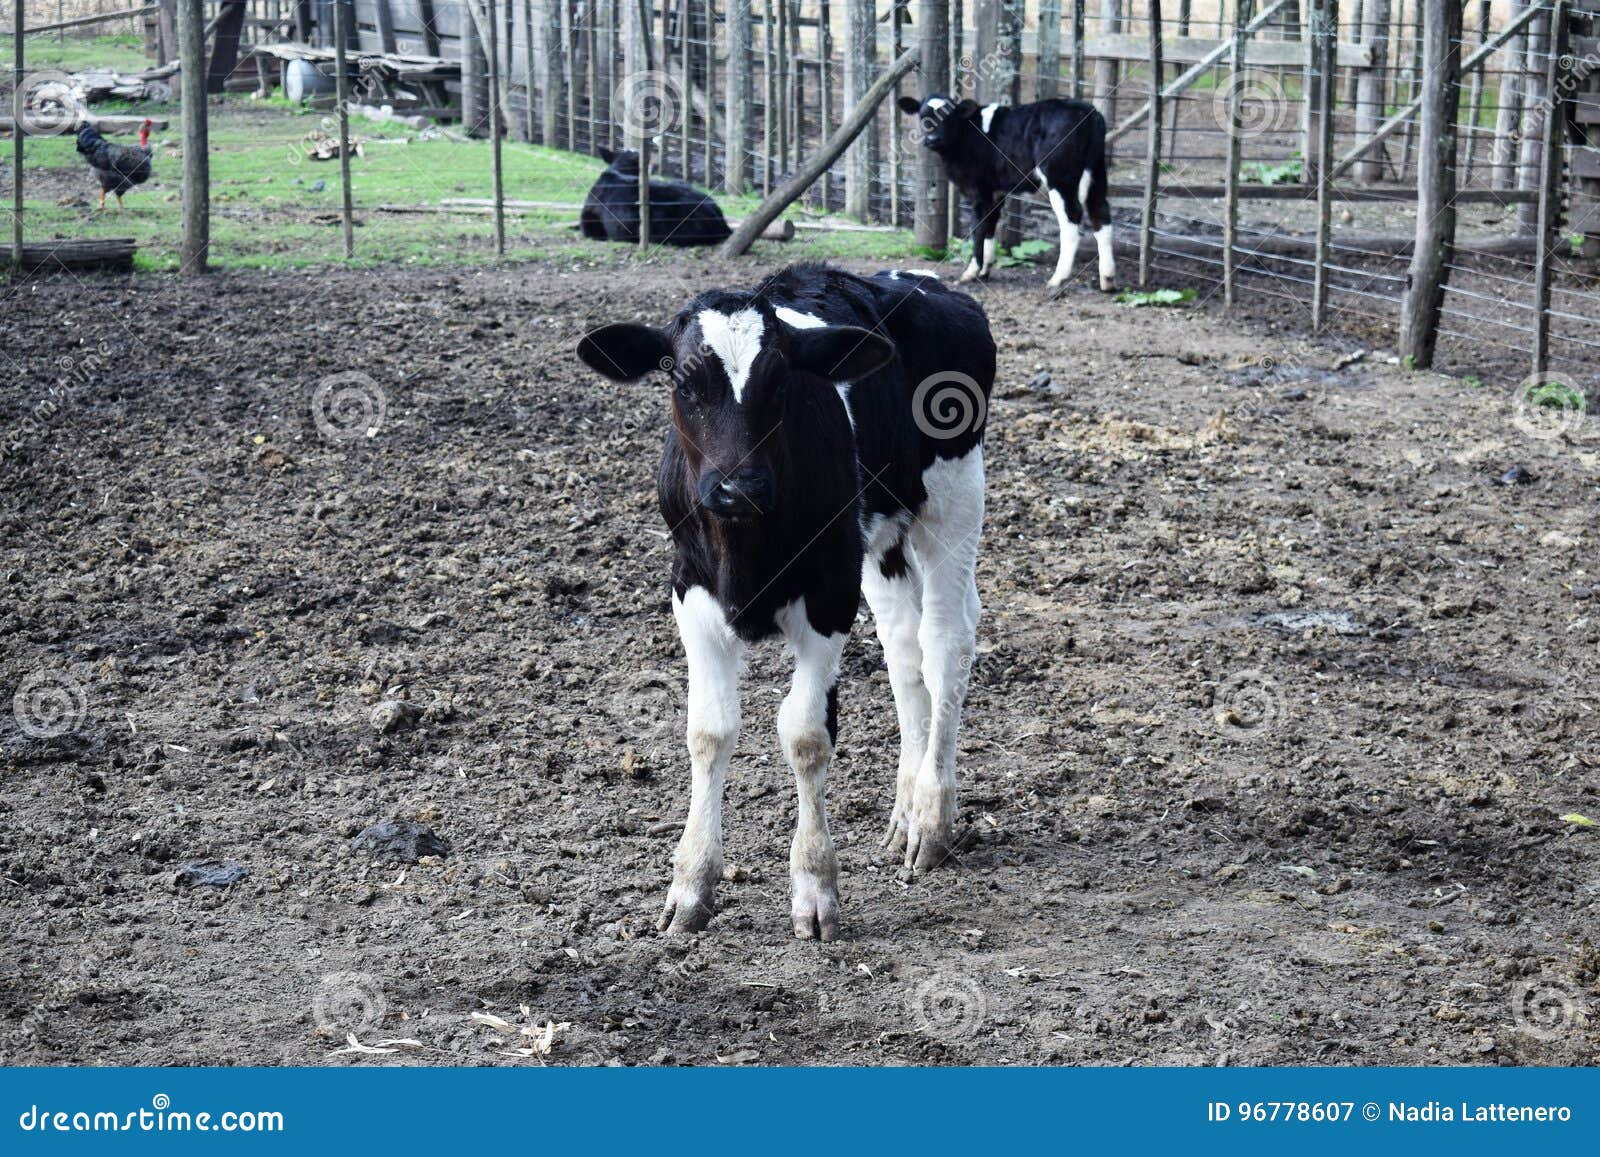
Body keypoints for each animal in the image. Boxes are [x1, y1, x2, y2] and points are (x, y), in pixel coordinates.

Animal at [576, 264, 996, 941]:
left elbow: (804, 734)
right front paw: (690, 885)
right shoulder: (691, 592)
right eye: (682, 380)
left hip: (954, 497)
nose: (737, 486)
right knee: (903, 651)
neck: (744, 546)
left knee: (945, 645)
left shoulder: (828, 595)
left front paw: (815, 888)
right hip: (878, 543)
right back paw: (906, 813)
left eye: (781, 381)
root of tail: (919, 280)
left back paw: (932, 820)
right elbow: (708, 730)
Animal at [899, 94, 1116, 295]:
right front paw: (984, 270)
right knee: (1101, 214)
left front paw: (971, 271)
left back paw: (1058, 278)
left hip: (1059, 177)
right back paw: (1107, 279)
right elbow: (989, 227)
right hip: (1097, 173)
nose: (932, 140)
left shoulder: (979, 191)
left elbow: (978, 228)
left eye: (949, 117)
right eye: (923, 116)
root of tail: (1088, 110)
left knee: (1071, 220)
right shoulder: (995, 192)